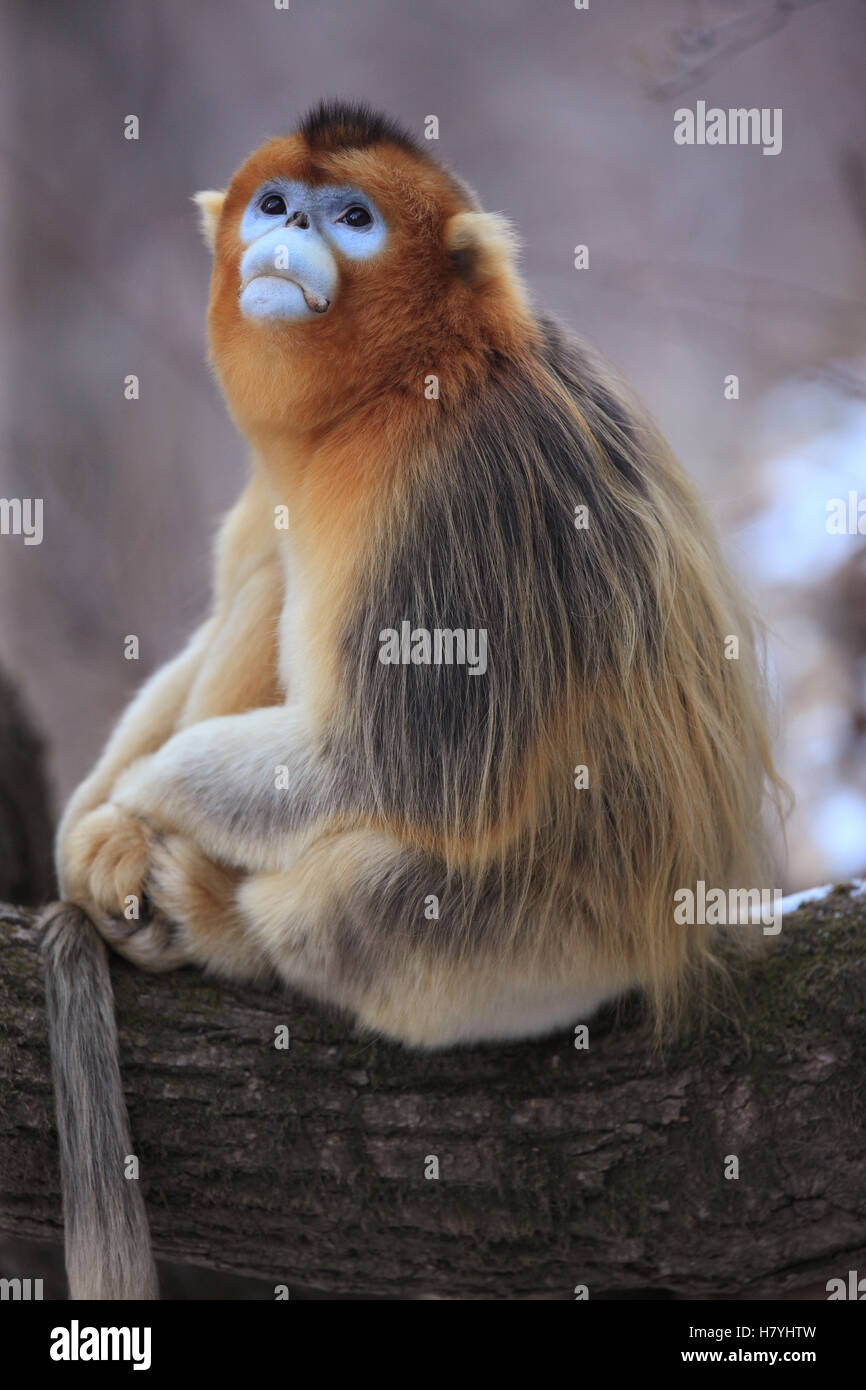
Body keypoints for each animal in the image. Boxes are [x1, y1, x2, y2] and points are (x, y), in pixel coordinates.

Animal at [41, 100, 783, 1299]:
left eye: (353, 217)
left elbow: (395, 765)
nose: (291, 231)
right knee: (272, 589)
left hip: (545, 950)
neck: (407, 382)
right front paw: (85, 830)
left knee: (349, 892)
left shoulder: (448, 484)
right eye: (273, 202)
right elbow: (232, 611)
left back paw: (204, 913)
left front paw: (130, 817)